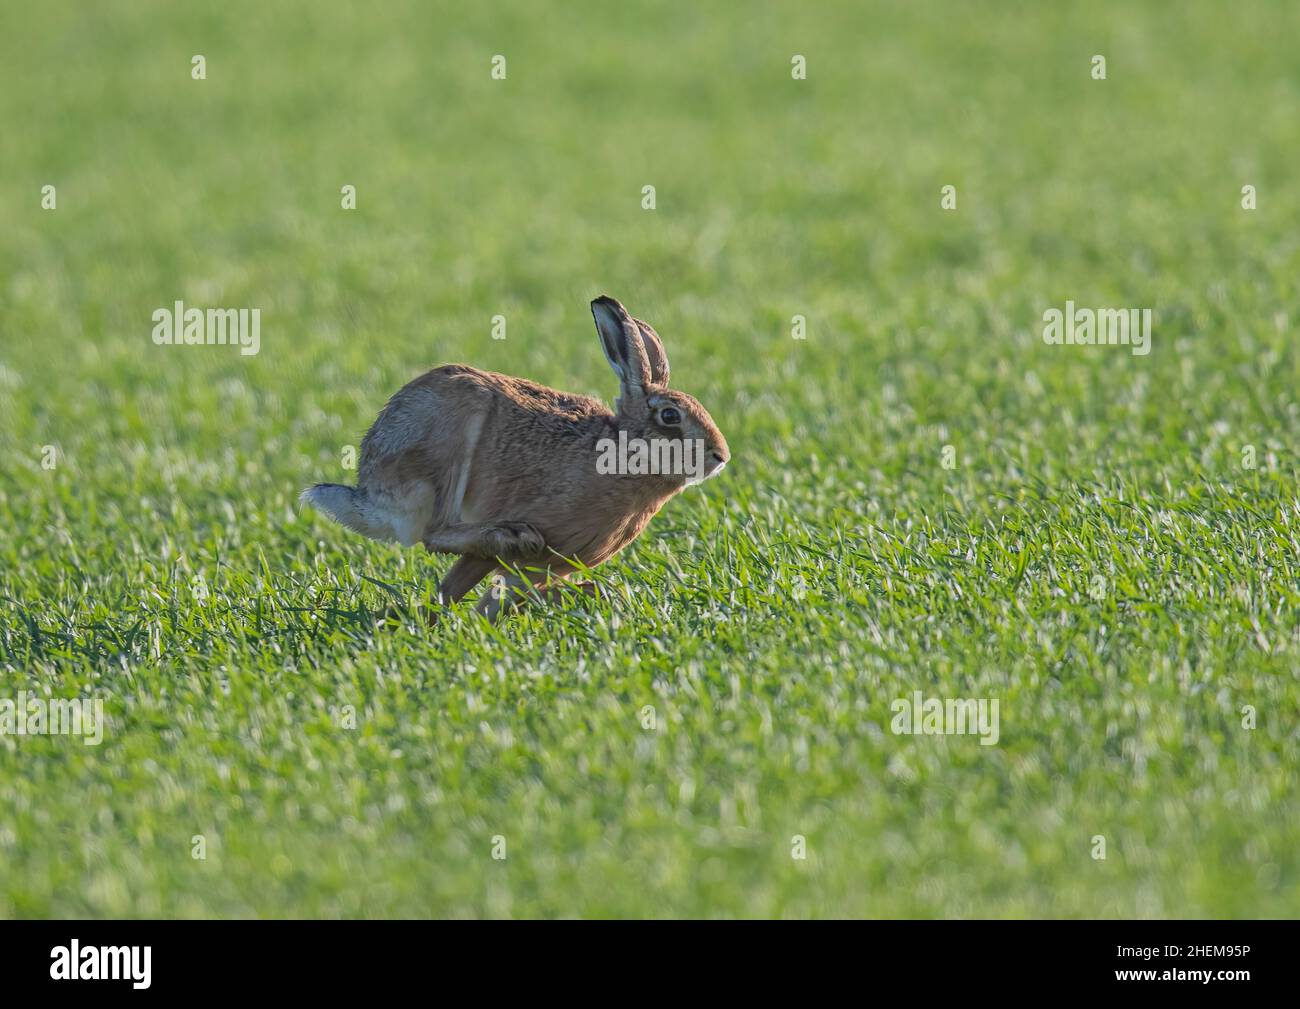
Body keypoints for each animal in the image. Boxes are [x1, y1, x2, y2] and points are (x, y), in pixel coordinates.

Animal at [301, 295, 730, 620]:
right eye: (670, 416)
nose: (721, 456)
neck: (622, 454)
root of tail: (370, 490)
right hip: (455, 429)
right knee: (437, 532)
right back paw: (510, 535)